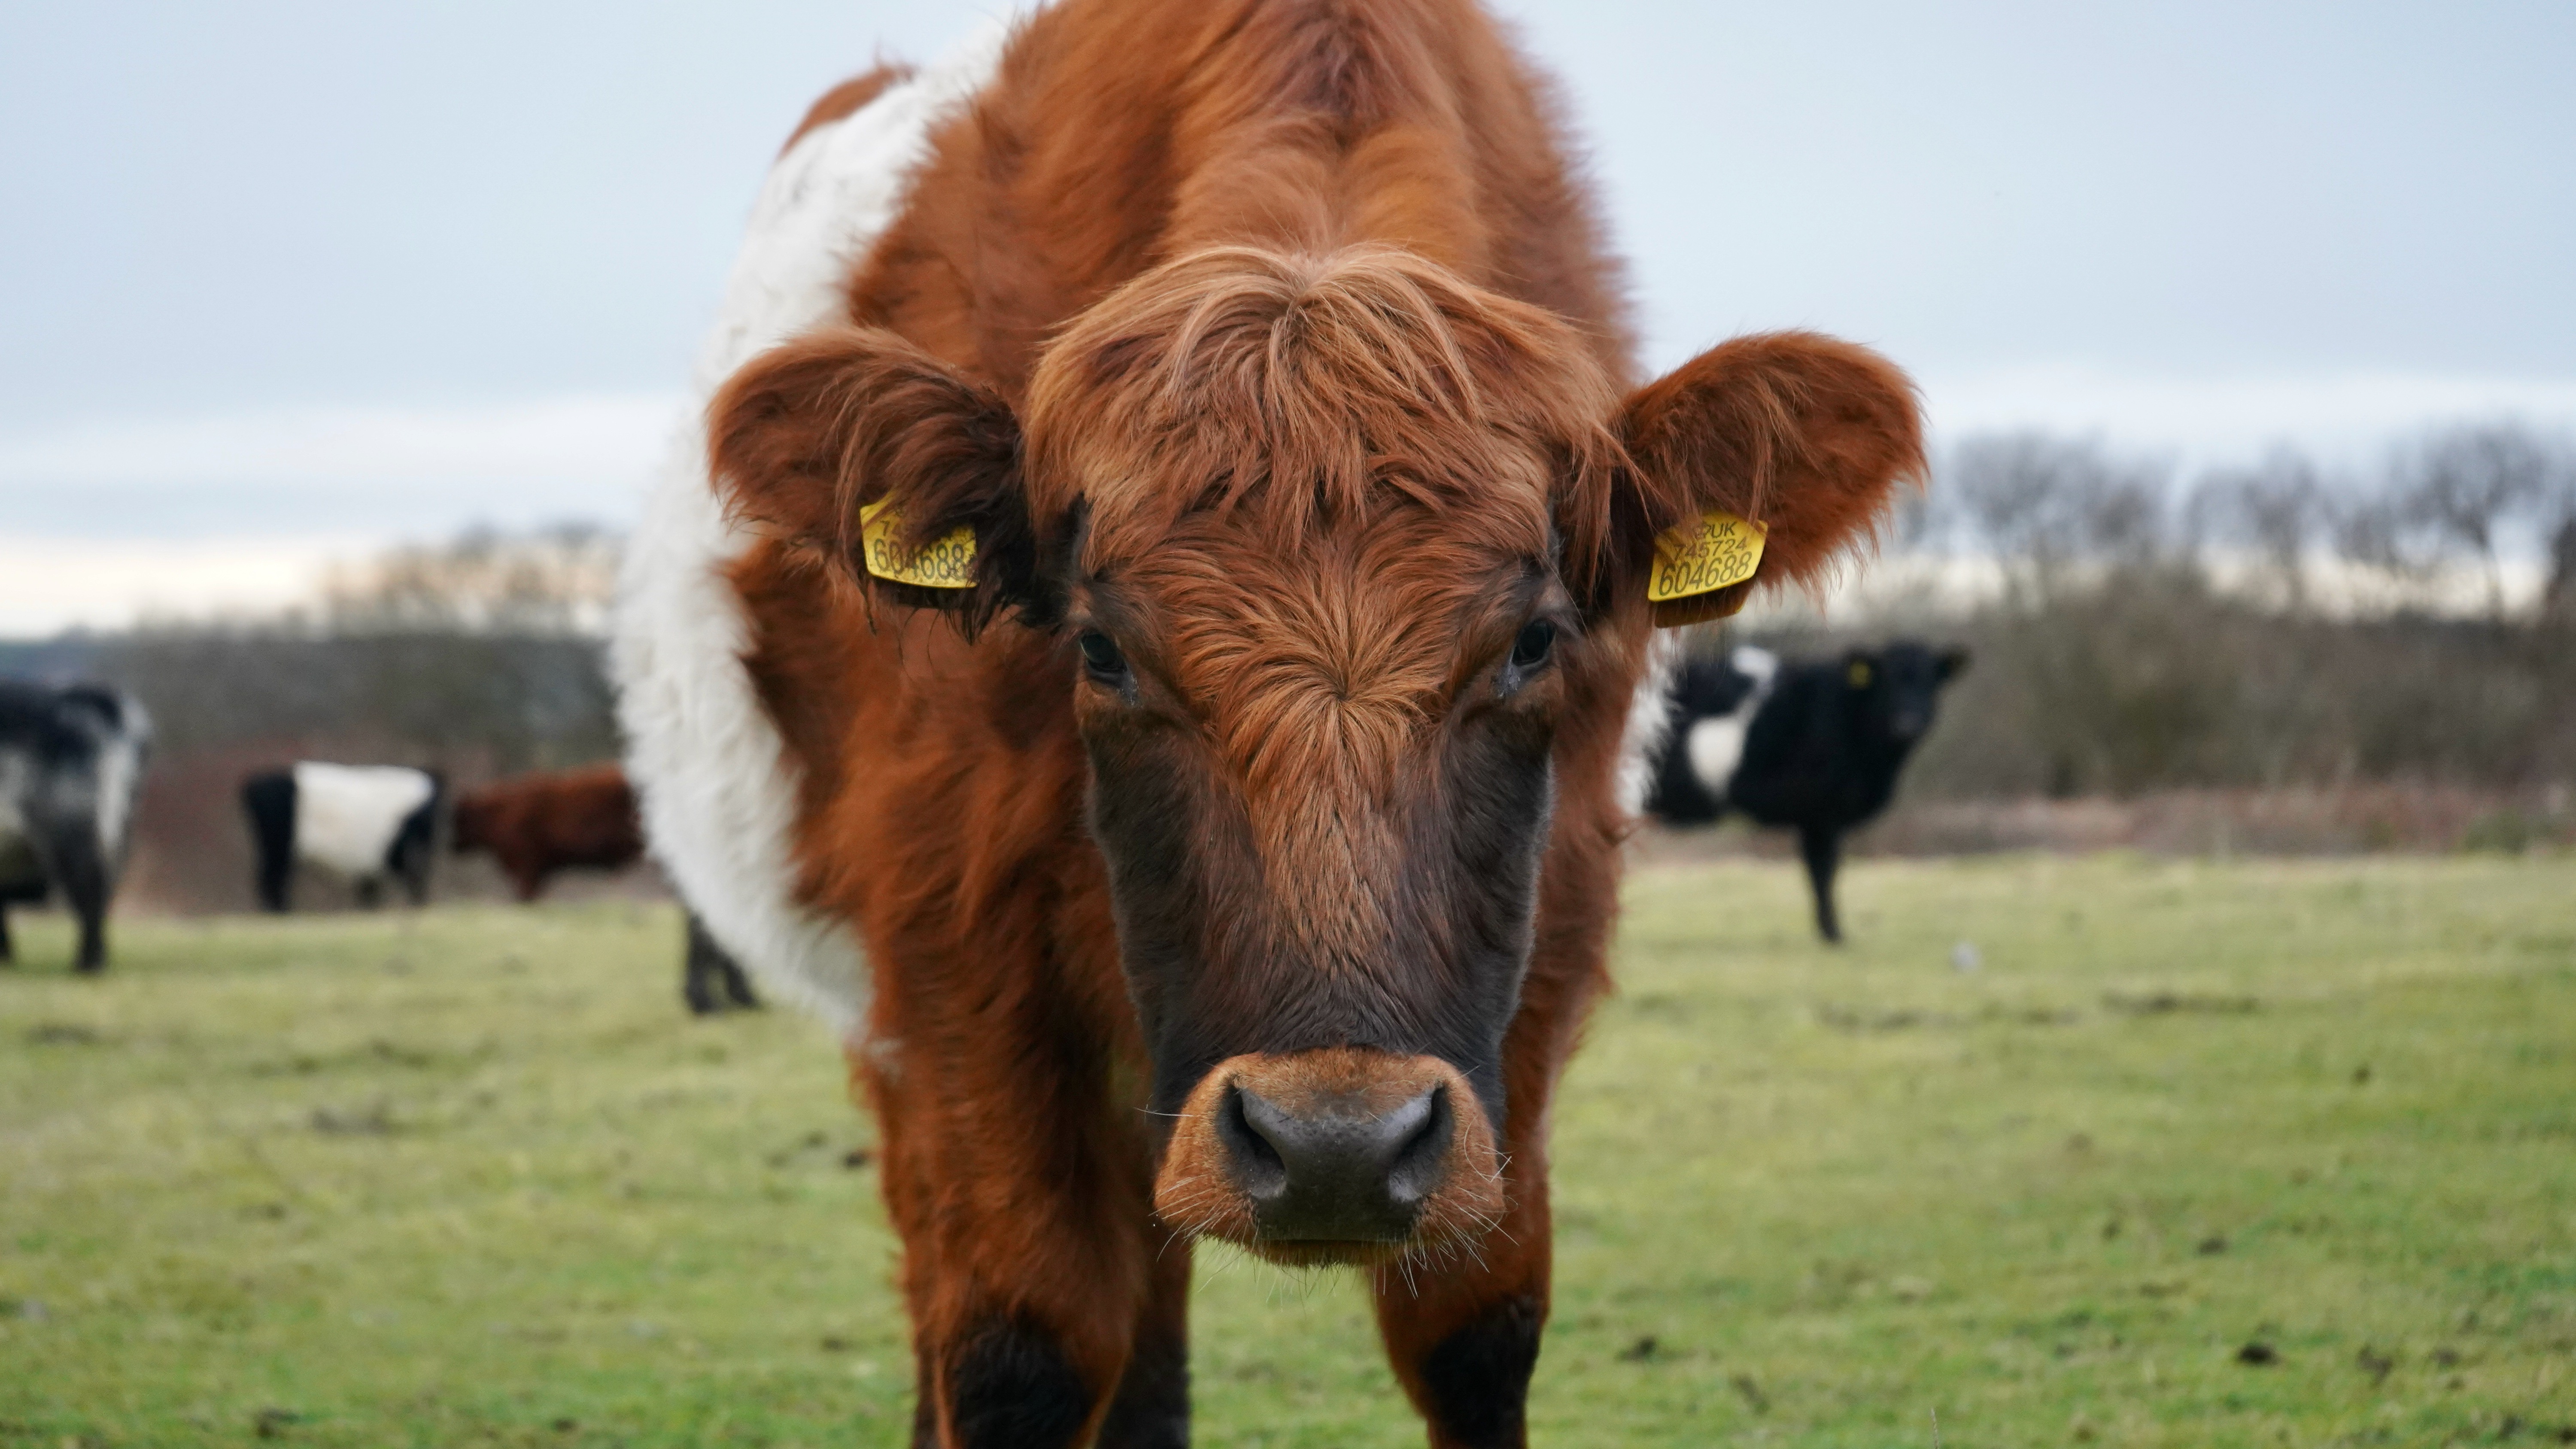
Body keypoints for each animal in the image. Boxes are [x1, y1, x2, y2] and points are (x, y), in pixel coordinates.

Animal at [612, 3, 1923, 1443]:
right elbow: (1017, 1343)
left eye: (1533, 640)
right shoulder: (959, 954)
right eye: (1099, 646)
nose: (1332, 1146)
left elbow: (1477, 1333)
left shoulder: (1542, 939)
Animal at [1646, 641, 1968, 942]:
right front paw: (1833, 935)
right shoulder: (1820, 812)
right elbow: (1823, 871)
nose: (1908, 722)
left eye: (1931, 679)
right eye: (1887, 679)